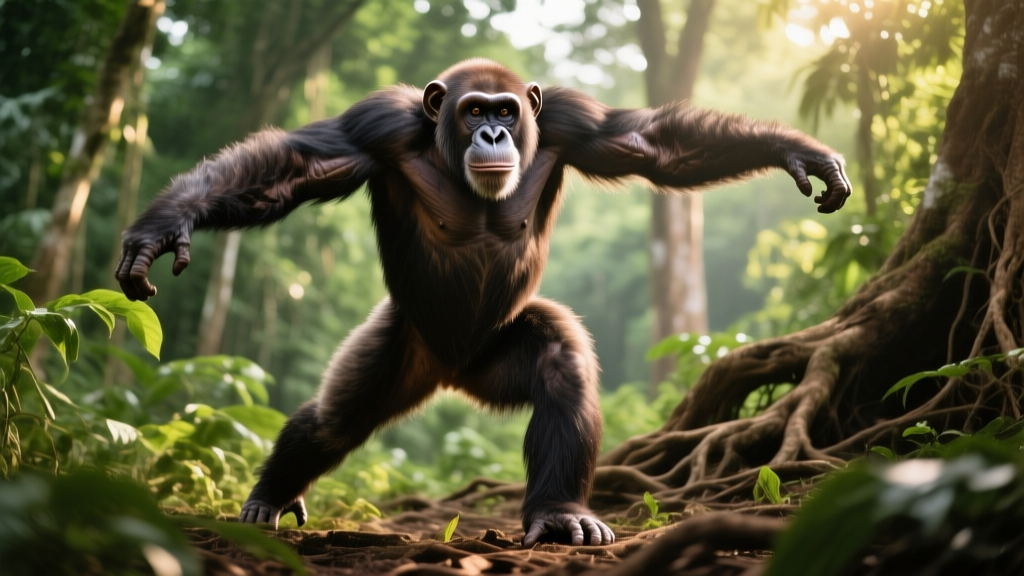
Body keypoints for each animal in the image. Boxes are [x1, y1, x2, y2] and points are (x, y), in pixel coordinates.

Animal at [116, 58, 851, 546]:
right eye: (474, 110)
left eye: (506, 111)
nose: (493, 134)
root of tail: (450, 374)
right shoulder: (375, 123)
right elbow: (294, 165)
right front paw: (164, 223)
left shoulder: (572, 120)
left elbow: (657, 145)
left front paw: (796, 149)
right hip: (398, 344)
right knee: (332, 421)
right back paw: (271, 495)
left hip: (493, 357)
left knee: (559, 363)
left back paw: (559, 512)